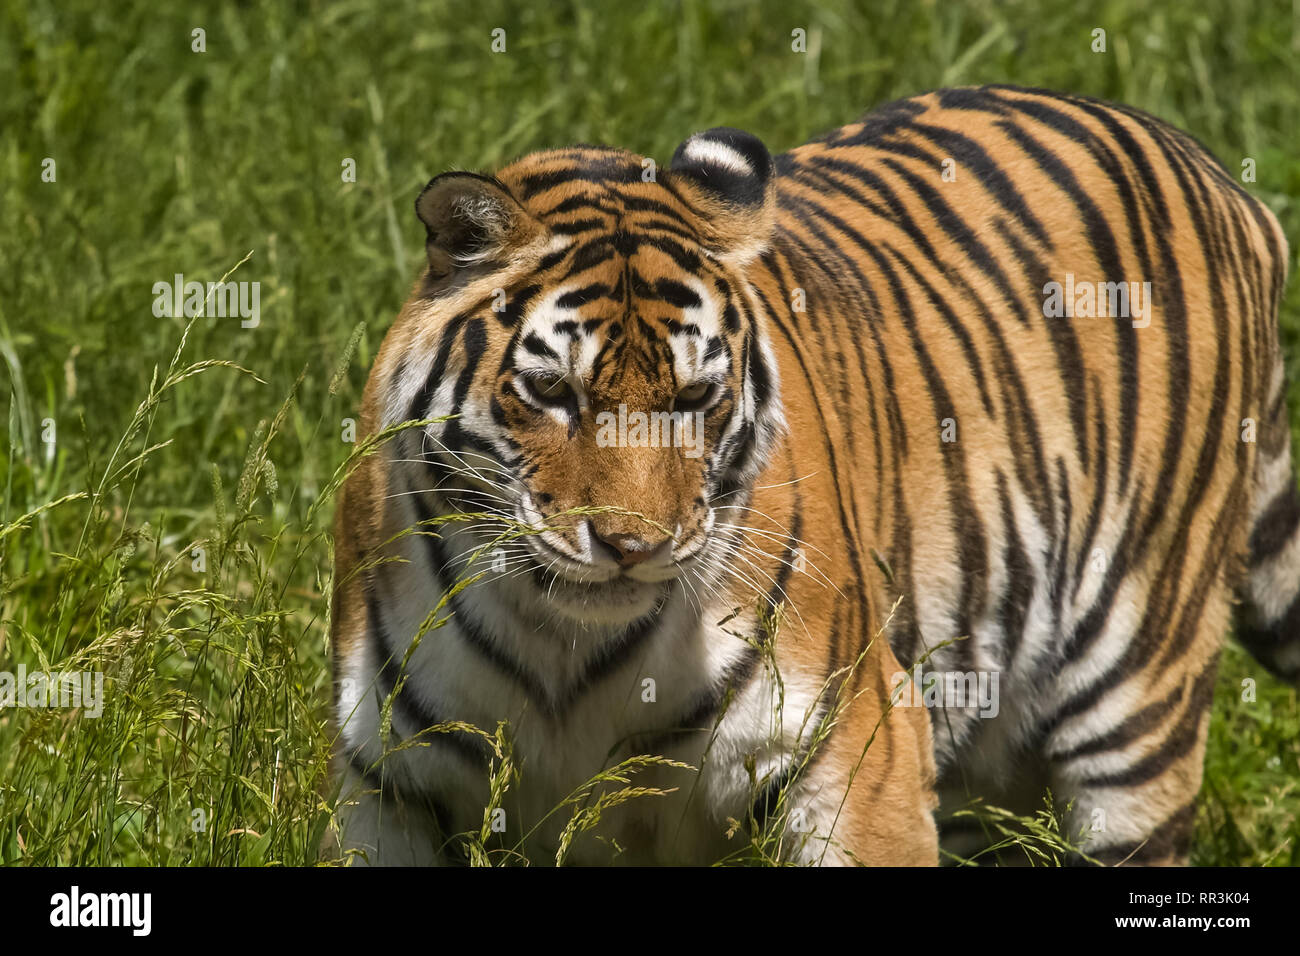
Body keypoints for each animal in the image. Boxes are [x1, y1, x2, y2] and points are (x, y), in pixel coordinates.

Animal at [330, 83, 1294, 866]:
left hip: (1136, 697)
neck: (561, 650)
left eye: (696, 398)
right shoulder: (387, 786)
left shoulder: (857, 750)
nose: (632, 546)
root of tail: (1212, 170)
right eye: (553, 392)